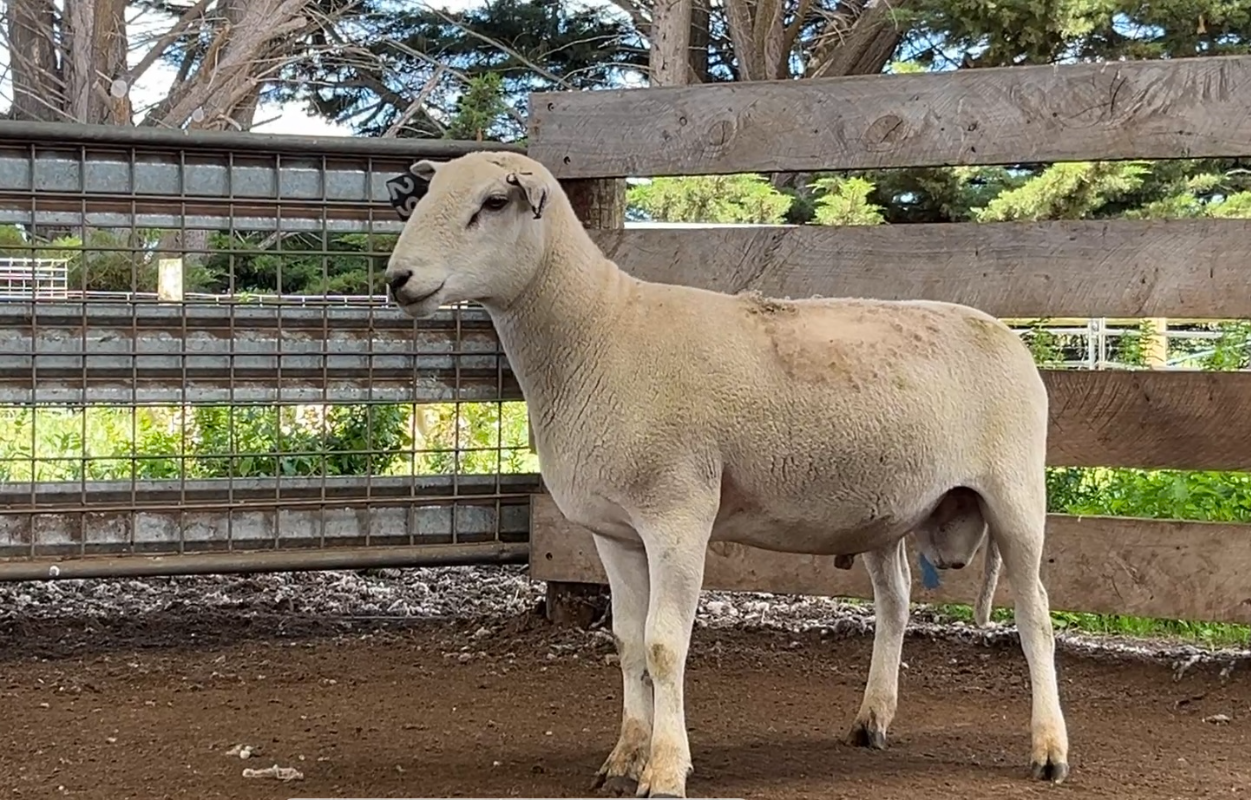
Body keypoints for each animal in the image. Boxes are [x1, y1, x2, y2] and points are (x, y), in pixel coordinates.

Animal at [382, 150, 1070, 798]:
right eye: (426, 197)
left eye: (494, 202)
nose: (397, 279)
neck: (598, 333)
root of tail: (1006, 332)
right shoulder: (615, 531)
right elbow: (628, 643)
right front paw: (623, 759)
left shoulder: (678, 514)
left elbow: (664, 645)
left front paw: (665, 769)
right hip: (888, 507)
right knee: (896, 601)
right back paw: (871, 720)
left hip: (1015, 491)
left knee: (1035, 614)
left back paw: (1049, 751)